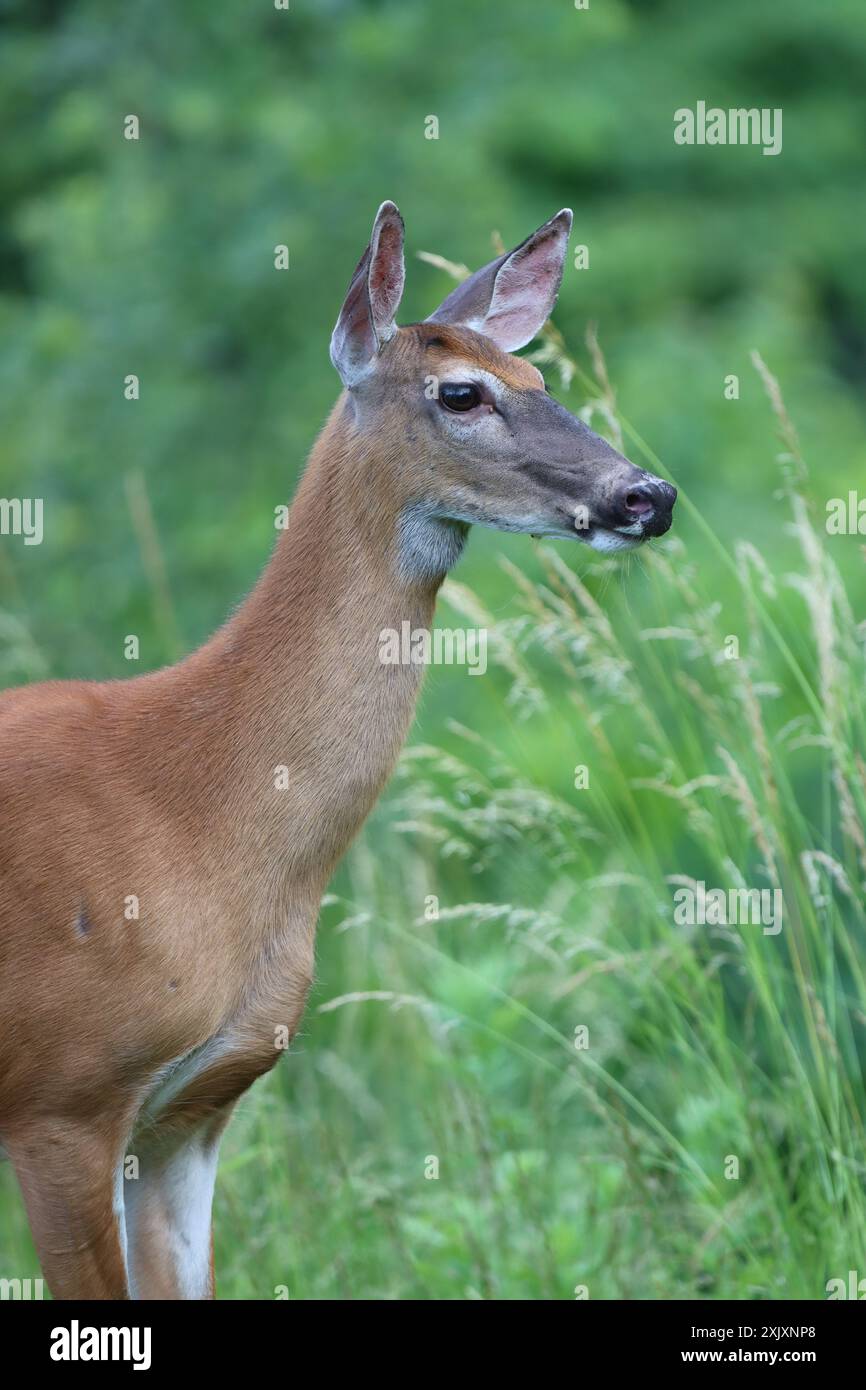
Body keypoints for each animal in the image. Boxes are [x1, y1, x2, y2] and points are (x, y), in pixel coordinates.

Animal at [0, 202, 676, 1300]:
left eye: (541, 378)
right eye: (461, 392)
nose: (646, 496)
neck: (190, 809)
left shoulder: (192, 1112)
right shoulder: (59, 1096)